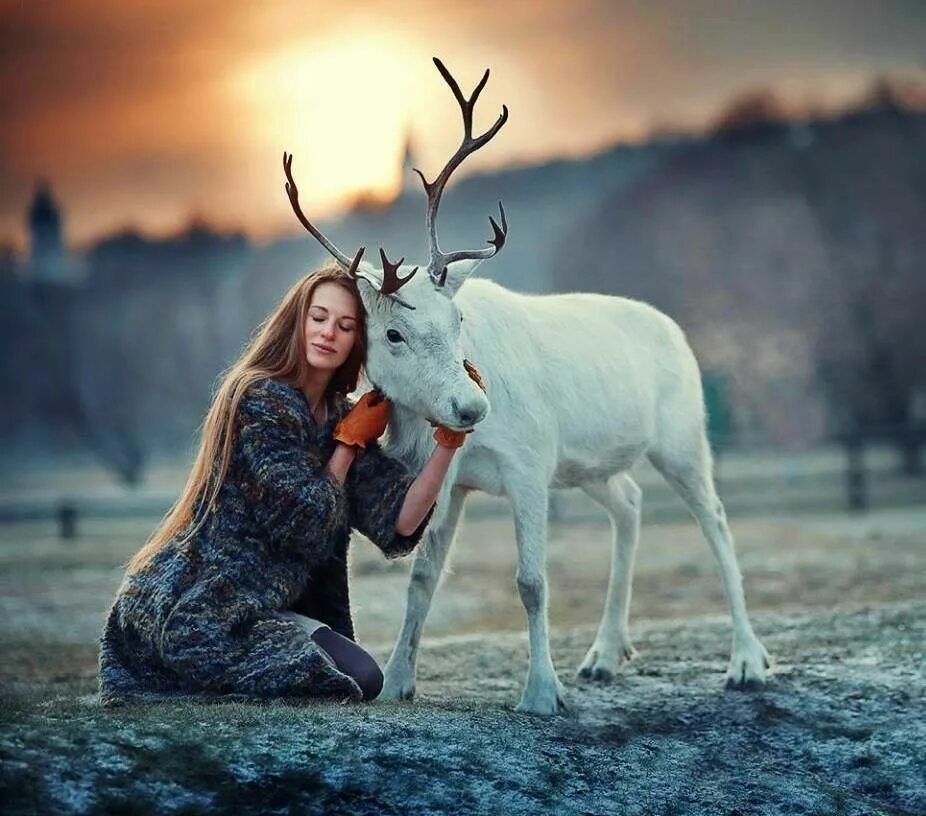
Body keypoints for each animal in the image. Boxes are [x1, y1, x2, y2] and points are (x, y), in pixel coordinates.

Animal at [282, 58, 771, 715]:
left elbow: (532, 581)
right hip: (588, 466)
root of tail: (678, 332)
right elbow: (422, 577)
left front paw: (541, 692)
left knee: (715, 519)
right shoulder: (452, 482)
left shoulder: (531, 464)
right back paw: (603, 654)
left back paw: (746, 662)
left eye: (457, 320)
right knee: (630, 503)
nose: (471, 407)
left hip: (683, 437)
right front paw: (399, 680)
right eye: (392, 333)